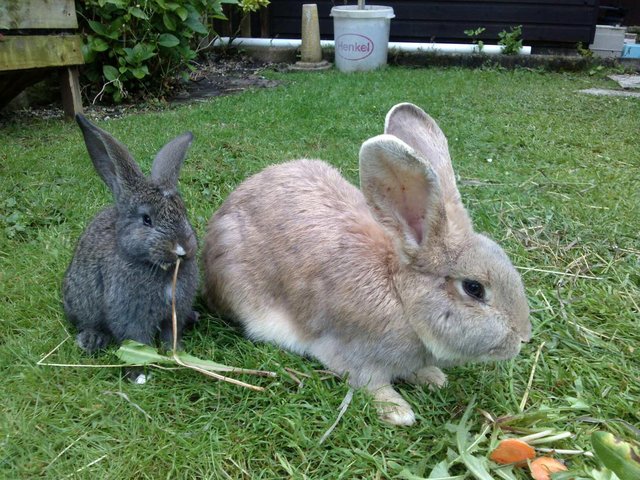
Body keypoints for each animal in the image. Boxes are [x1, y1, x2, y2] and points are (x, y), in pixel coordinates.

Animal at [63, 115, 199, 358]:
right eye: (146, 220)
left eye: (183, 211)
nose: (182, 248)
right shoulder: (131, 317)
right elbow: (139, 338)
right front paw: (146, 360)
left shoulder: (173, 314)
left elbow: (170, 335)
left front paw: (176, 352)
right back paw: (91, 339)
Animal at [202, 103, 531, 426]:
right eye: (474, 288)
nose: (523, 338)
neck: (400, 297)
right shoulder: (353, 355)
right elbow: (370, 383)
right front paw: (398, 411)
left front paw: (434, 378)